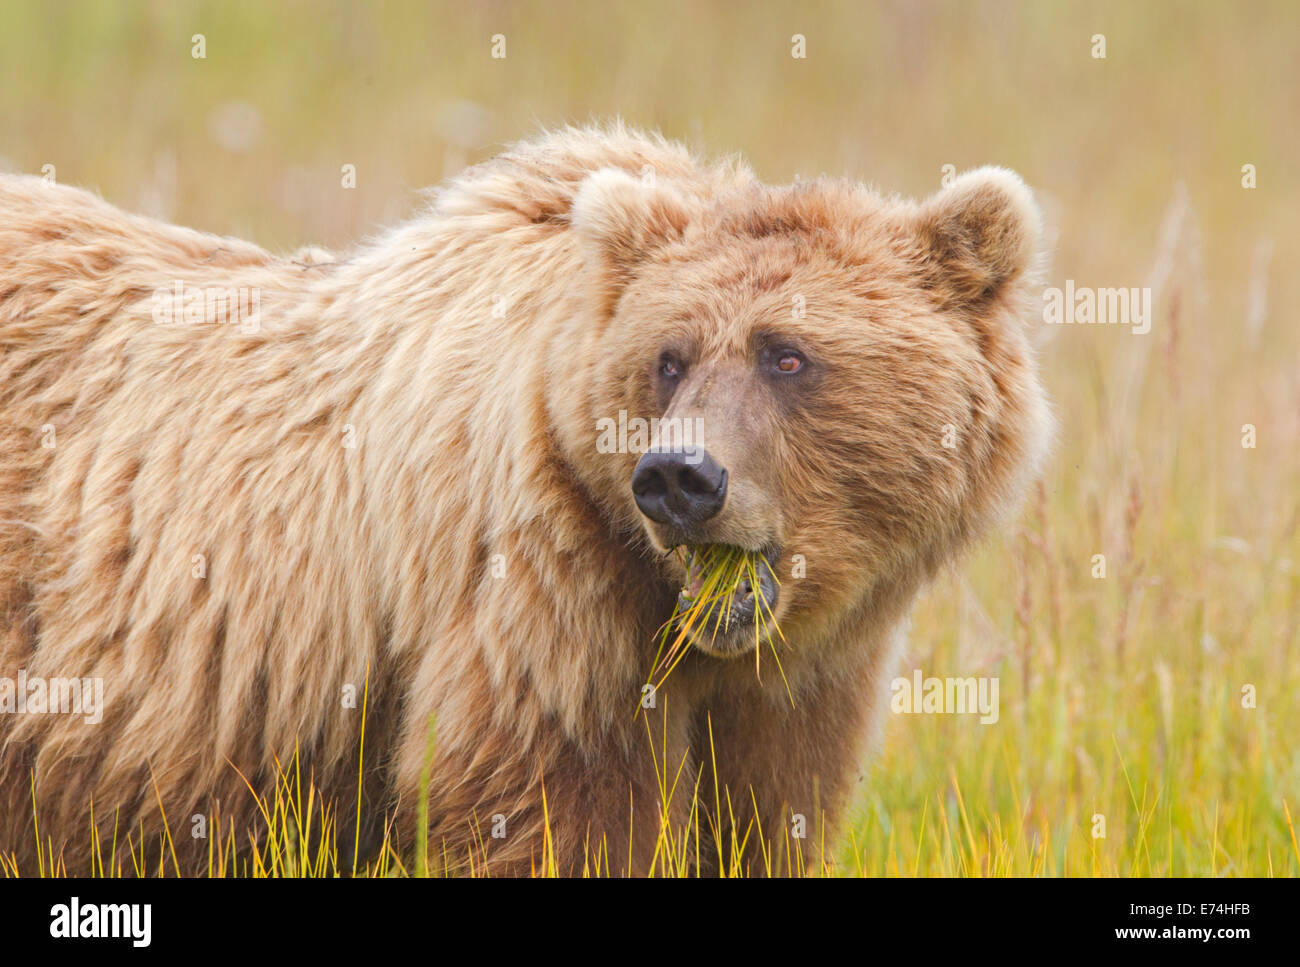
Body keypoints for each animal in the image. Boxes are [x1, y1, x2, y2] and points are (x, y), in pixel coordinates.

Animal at [0, 124, 1050, 875]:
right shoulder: (542, 594)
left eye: (787, 354)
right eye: (670, 358)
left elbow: (759, 818)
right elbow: (553, 811)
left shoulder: (799, 688)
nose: (681, 479)